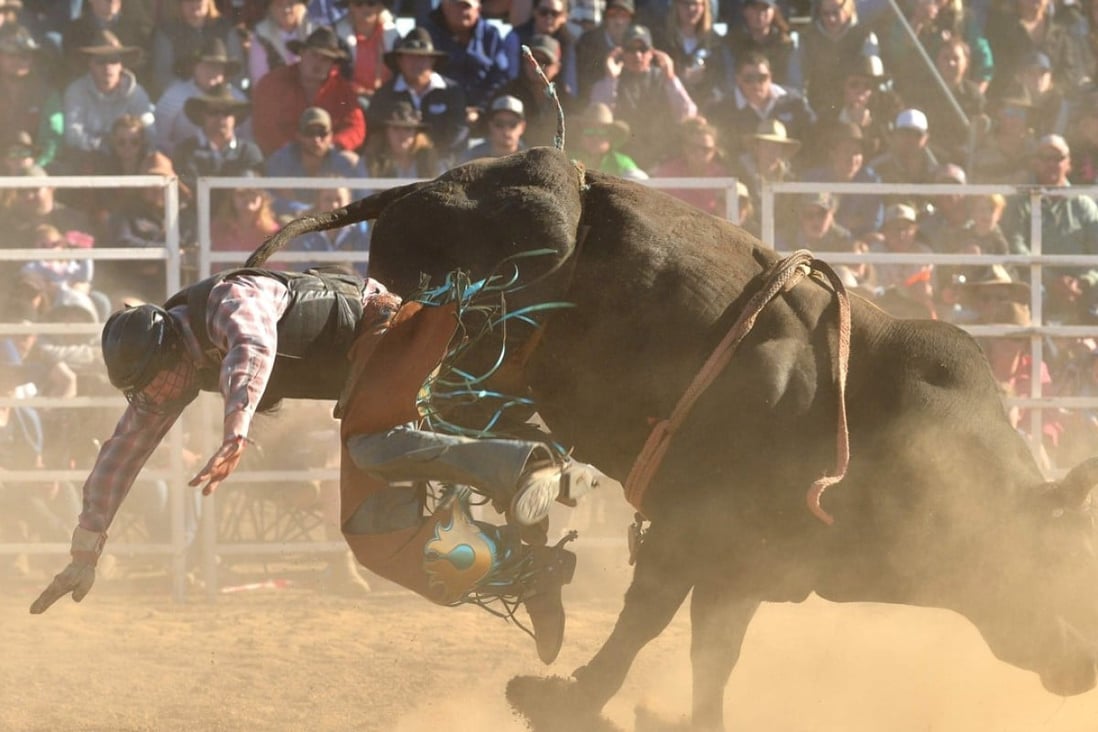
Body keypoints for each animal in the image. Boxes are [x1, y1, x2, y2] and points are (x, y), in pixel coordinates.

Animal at [247, 147, 1098, 730]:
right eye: (1057, 560)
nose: (1083, 663)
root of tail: (428, 187)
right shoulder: (692, 533)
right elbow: (644, 623)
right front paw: (564, 697)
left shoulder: (743, 567)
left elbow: (709, 656)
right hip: (473, 307)